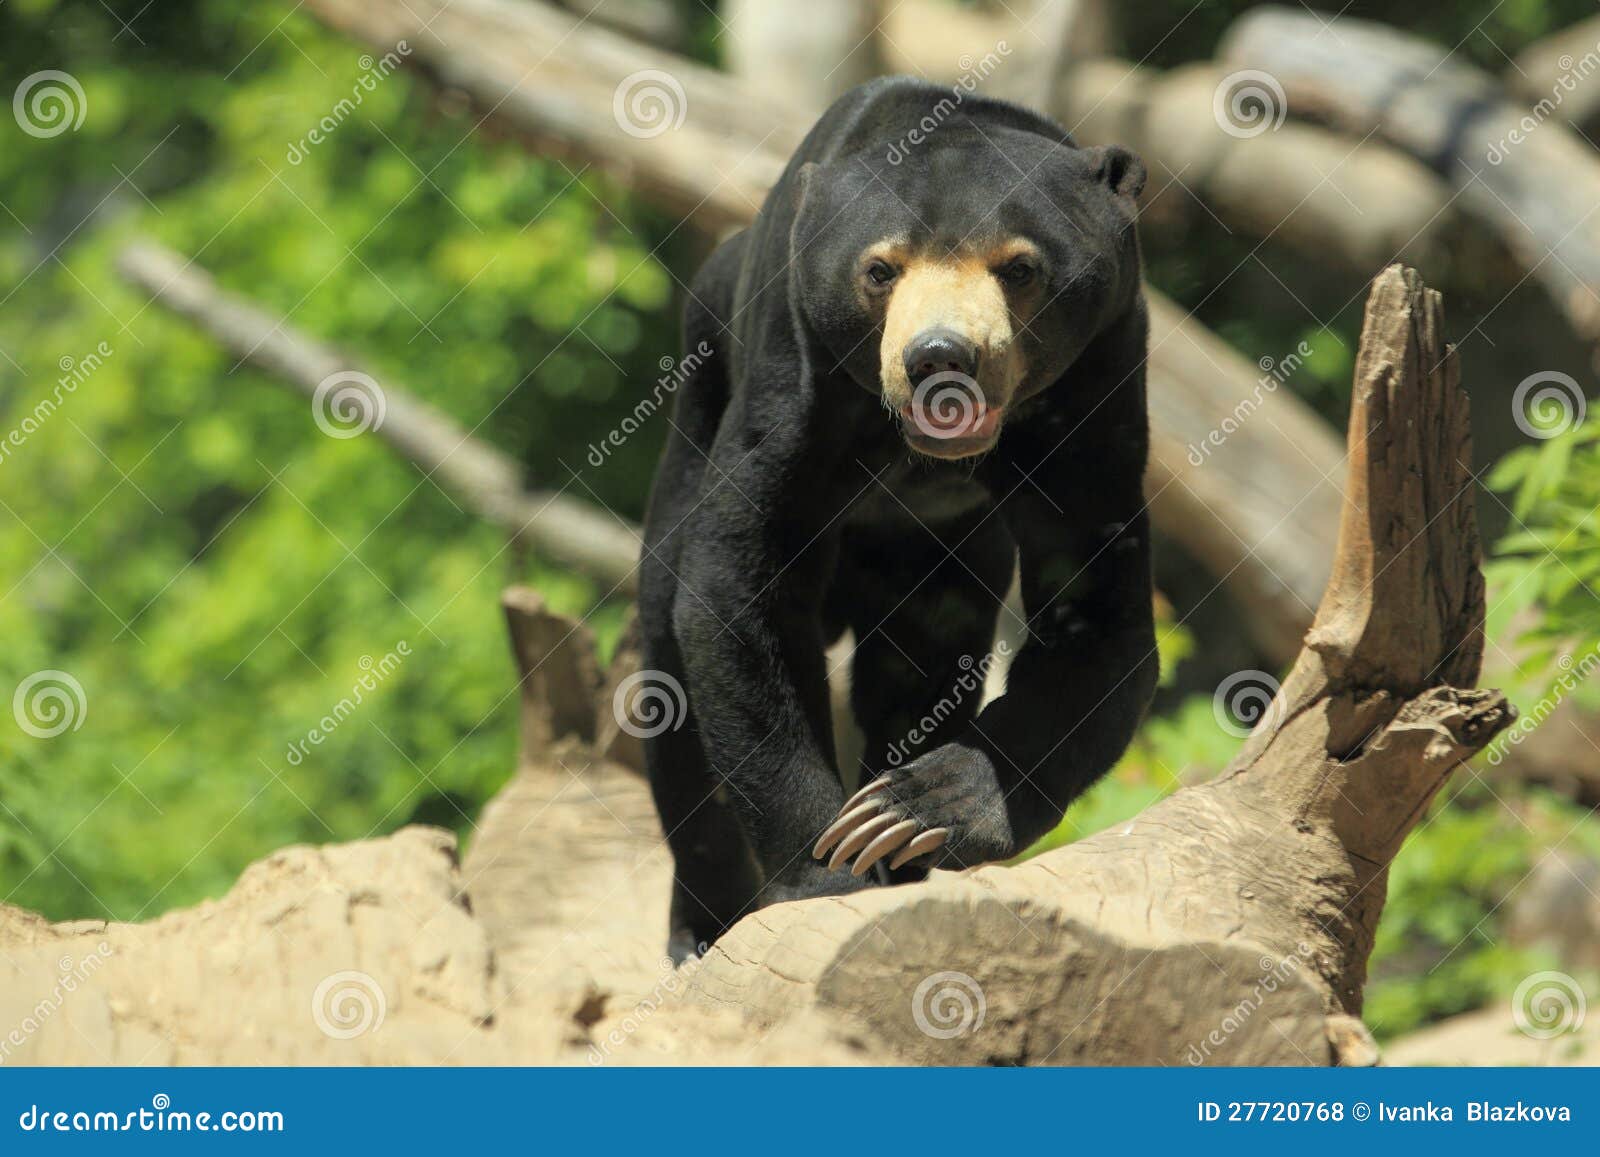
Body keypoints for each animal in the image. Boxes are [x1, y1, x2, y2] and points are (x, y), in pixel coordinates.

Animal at [637, 76, 1157, 960]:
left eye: (1021, 267)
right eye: (879, 270)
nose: (939, 356)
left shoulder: (1099, 387)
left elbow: (1095, 612)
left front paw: (911, 810)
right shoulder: (796, 377)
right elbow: (740, 583)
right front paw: (829, 867)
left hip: (946, 559)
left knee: (923, 654)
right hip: (695, 410)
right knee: (666, 662)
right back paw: (699, 927)